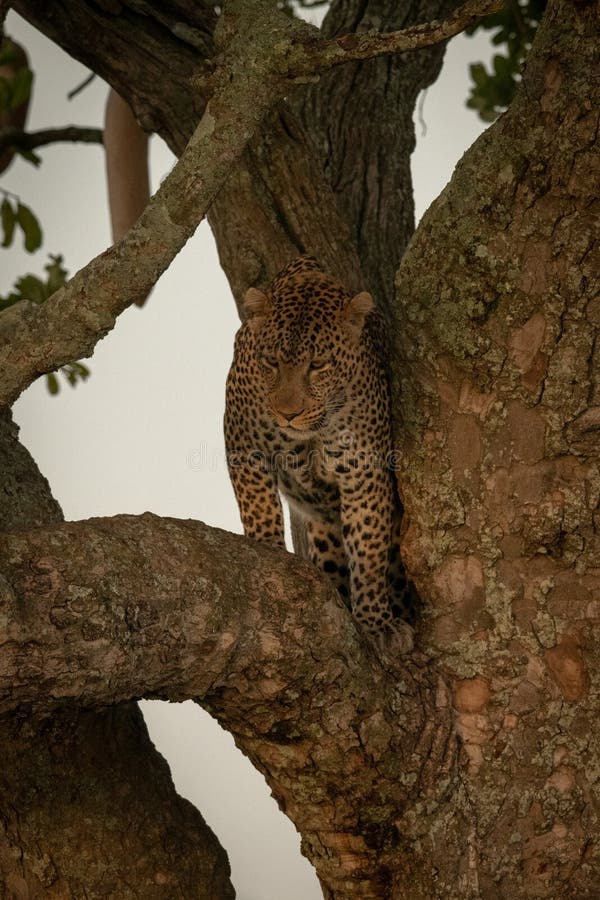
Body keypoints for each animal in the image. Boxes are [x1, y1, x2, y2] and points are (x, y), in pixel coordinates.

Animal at [224, 255, 417, 649]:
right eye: (271, 362)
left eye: (318, 365)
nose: (288, 413)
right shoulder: (242, 442)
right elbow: (260, 508)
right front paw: (268, 552)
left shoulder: (364, 472)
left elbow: (368, 550)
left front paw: (376, 622)